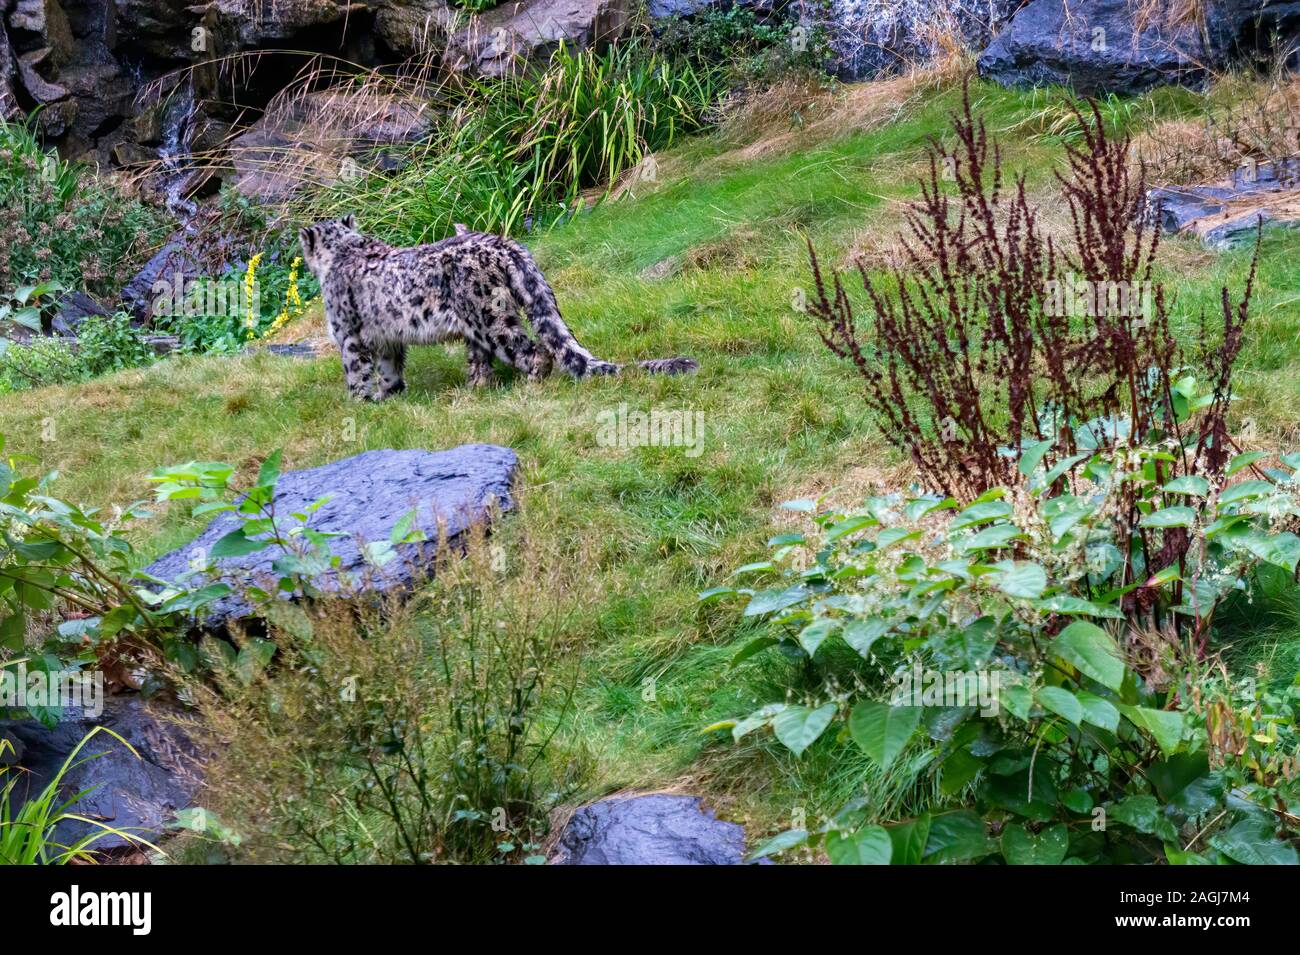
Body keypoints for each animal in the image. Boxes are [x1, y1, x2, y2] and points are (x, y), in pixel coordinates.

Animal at [297, 215, 697, 400]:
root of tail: (503, 243)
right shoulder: (387, 339)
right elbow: (389, 368)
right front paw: (391, 395)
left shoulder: (349, 336)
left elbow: (356, 371)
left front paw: (360, 403)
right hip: (478, 326)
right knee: (484, 360)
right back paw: (475, 388)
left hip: (492, 319)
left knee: (534, 351)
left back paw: (531, 383)